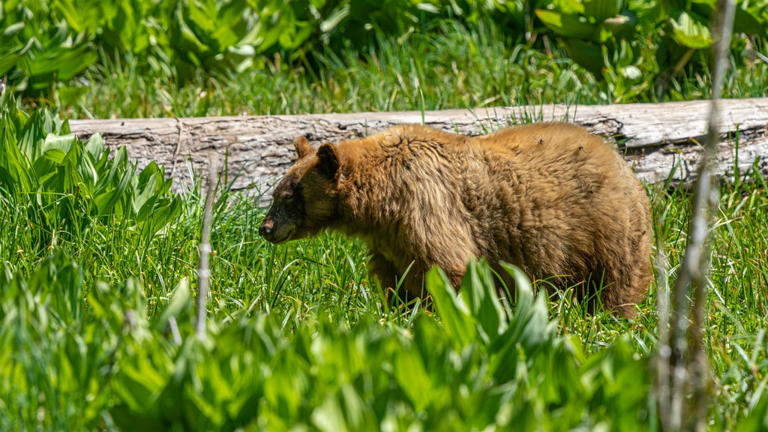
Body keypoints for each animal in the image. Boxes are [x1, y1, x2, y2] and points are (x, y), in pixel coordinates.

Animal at [259, 123, 652, 317]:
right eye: (276, 193)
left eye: (290, 195)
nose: (265, 228)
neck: (381, 200)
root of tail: (622, 163)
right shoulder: (389, 241)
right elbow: (396, 282)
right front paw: (402, 314)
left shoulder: (425, 206)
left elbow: (447, 269)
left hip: (605, 228)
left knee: (616, 282)